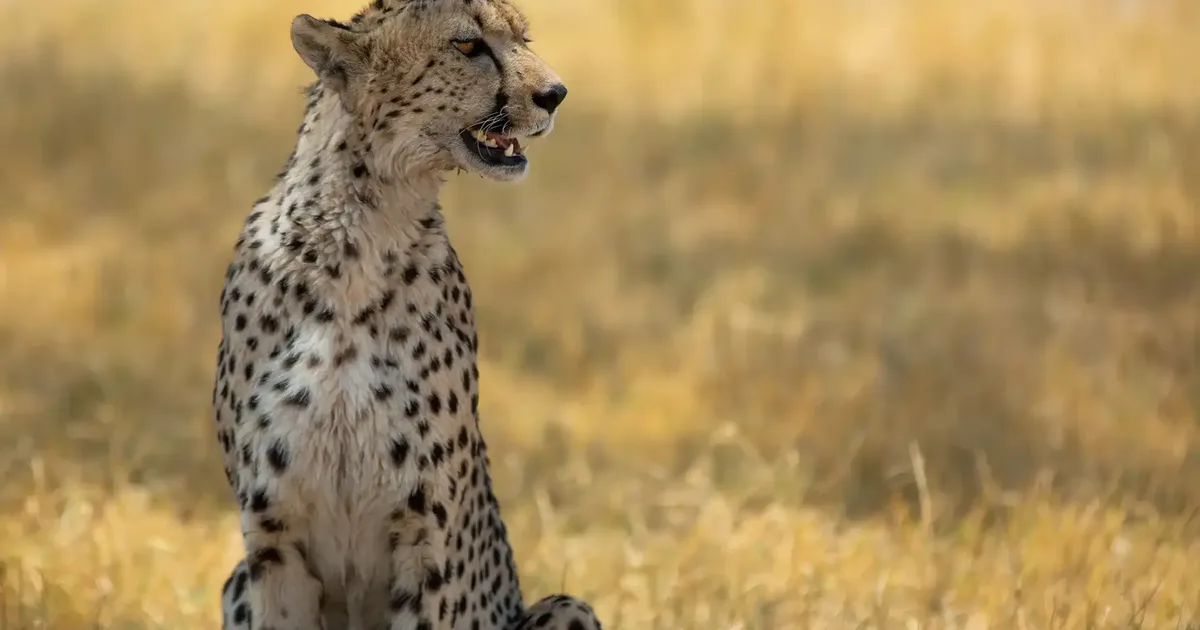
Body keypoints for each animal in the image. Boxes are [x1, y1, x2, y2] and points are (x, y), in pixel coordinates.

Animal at [208, 1, 601, 629]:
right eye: (468, 45)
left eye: (524, 37)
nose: (556, 94)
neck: (357, 244)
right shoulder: (273, 540)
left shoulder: (426, 542)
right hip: (238, 581)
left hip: (567, 605)